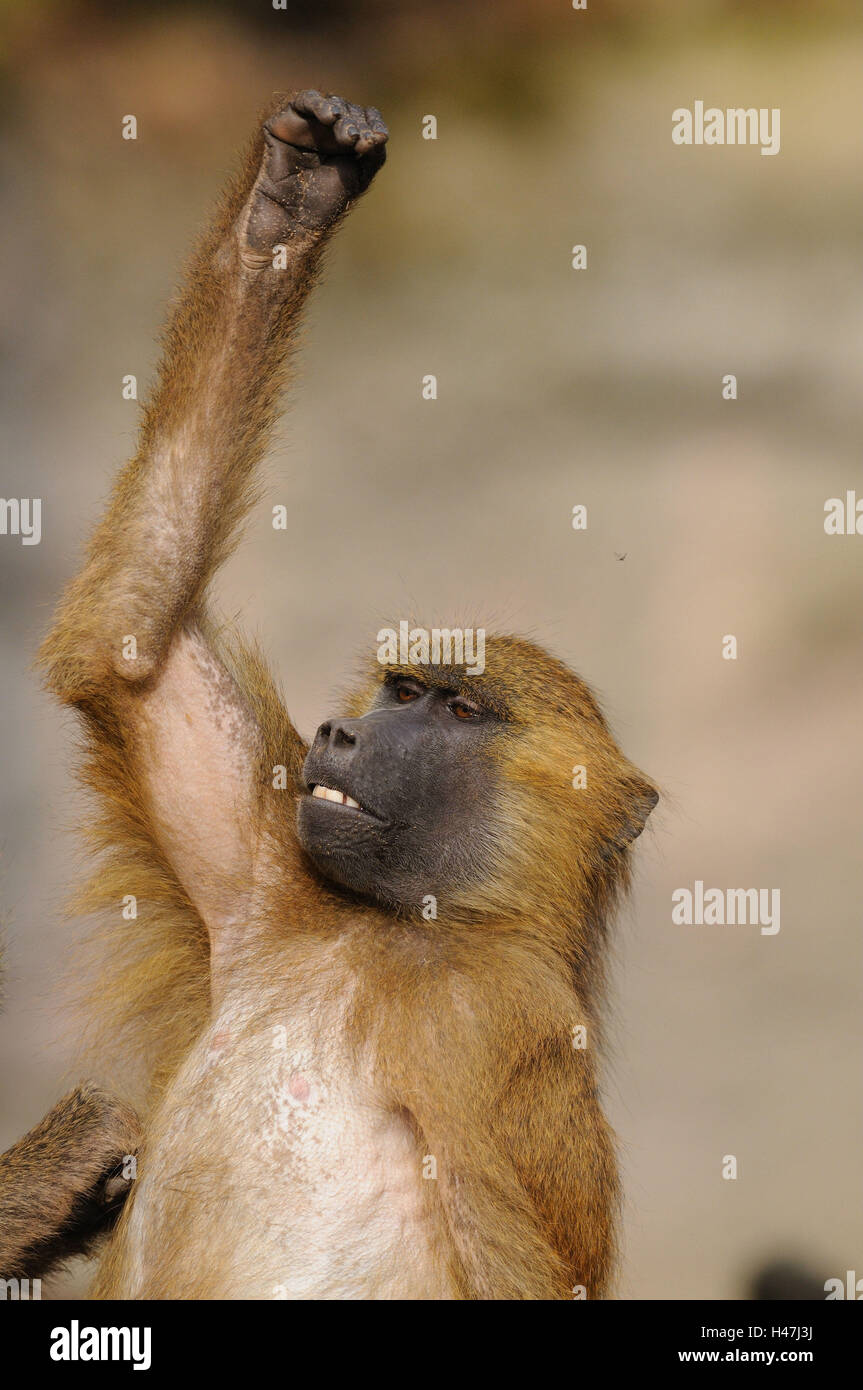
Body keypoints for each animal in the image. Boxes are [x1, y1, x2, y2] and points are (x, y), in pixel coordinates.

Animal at [37, 89, 657, 1299]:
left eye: (458, 710)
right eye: (399, 686)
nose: (339, 732)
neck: (408, 934)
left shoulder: (504, 1036)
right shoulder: (270, 879)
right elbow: (132, 647)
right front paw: (297, 195)